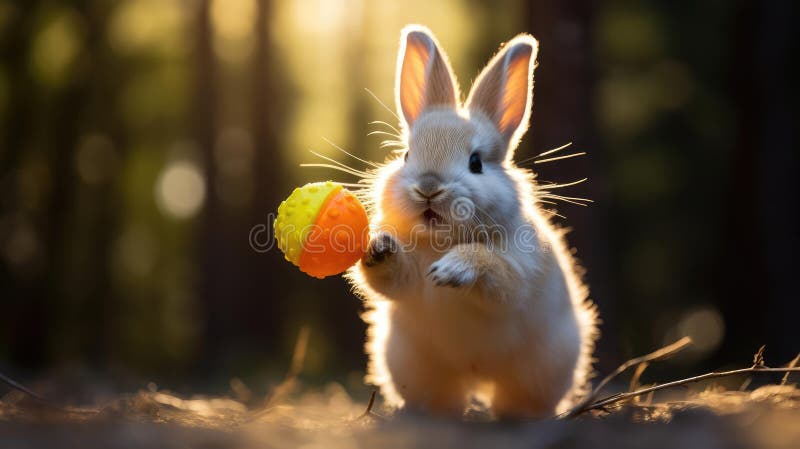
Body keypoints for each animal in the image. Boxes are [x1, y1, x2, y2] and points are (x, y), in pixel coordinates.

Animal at [345, 24, 598, 419]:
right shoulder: (406, 280)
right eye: (406, 155)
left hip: (542, 367)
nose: (428, 187)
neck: (442, 240)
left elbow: (496, 272)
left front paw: (453, 270)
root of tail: (477, 375)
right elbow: (391, 277)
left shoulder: (518, 273)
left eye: (476, 162)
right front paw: (380, 246)